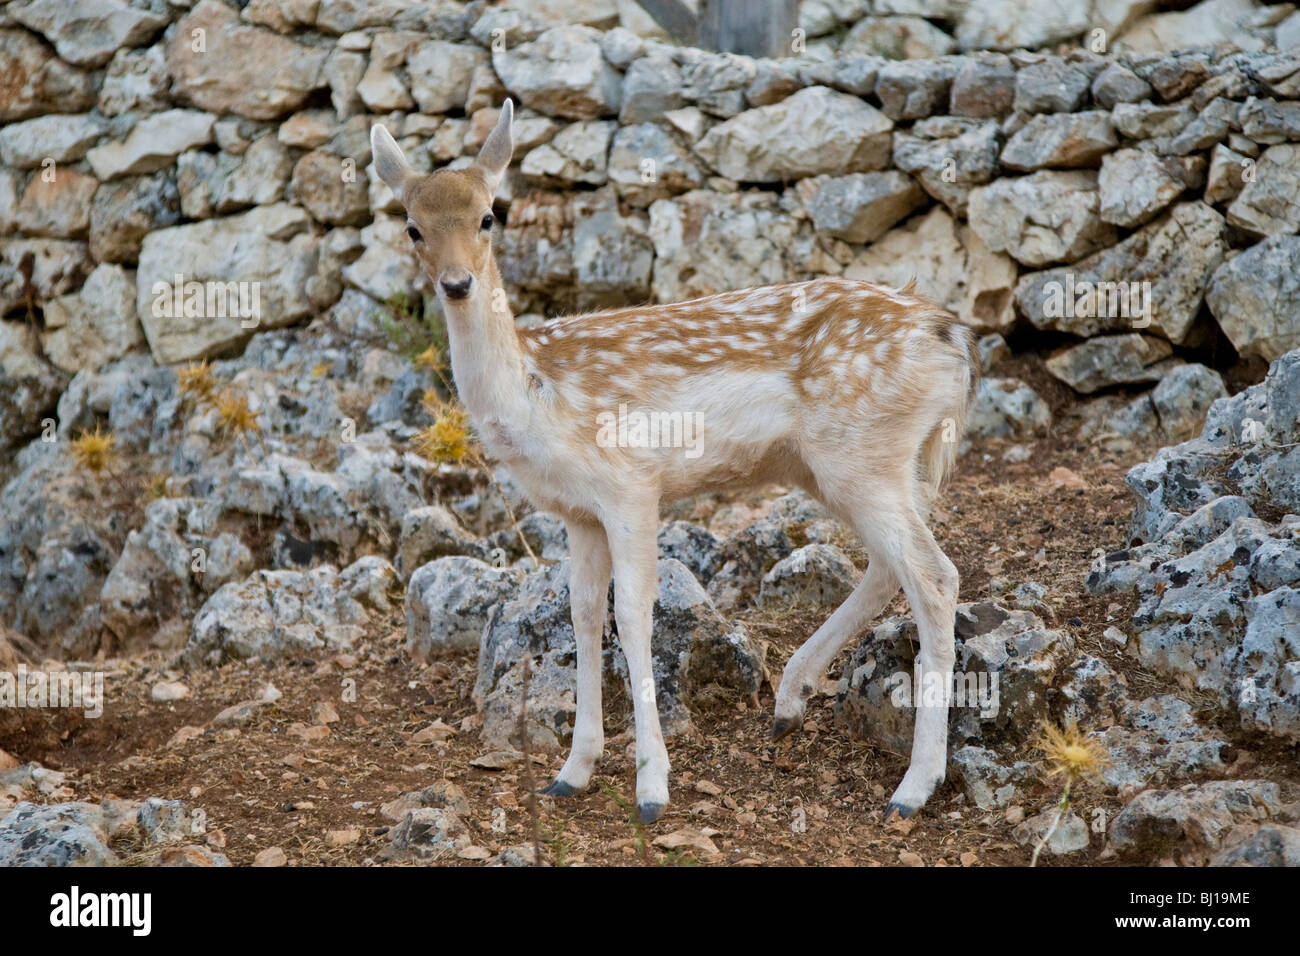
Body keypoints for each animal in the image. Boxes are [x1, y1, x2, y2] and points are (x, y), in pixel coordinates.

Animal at [371, 100, 980, 824]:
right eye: (412, 227)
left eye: (490, 216)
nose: (458, 284)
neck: (538, 395)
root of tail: (949, 337)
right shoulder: (577, 513)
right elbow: (581, 614)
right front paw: (572, 771)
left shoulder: (631, 484)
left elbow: (634, 615)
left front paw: (651, 787)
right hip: (851, 466)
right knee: (893, 568)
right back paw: (790, 701)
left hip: (862, 452)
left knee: (935, 576)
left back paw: (913, 786)